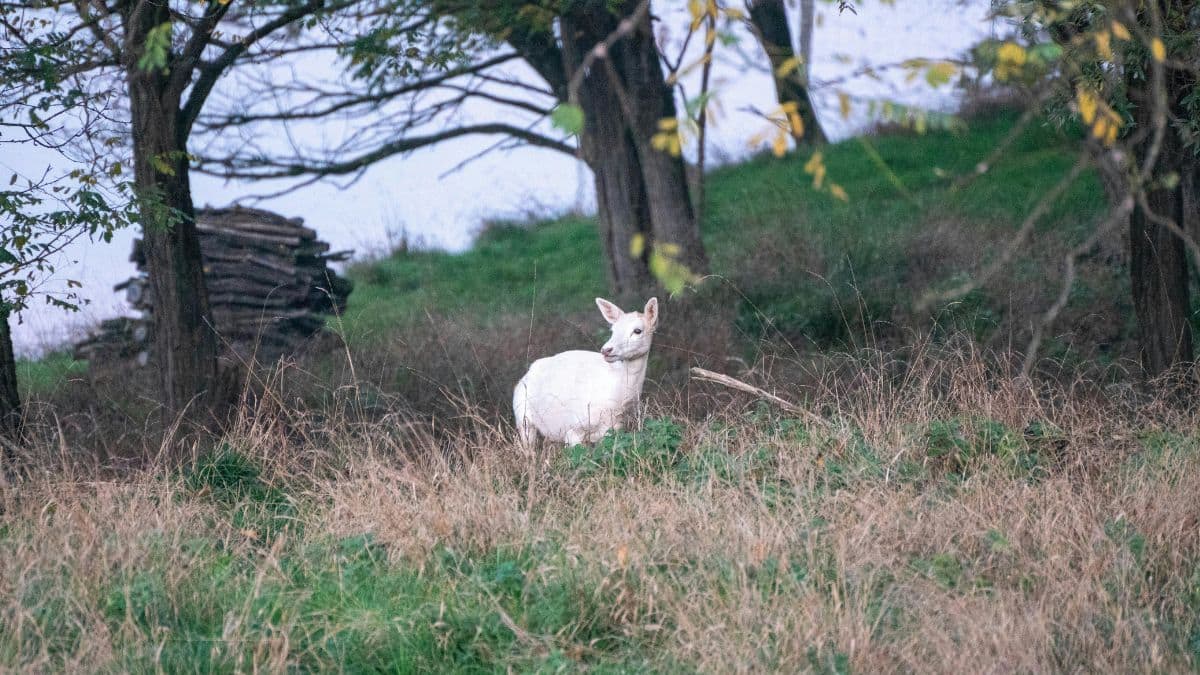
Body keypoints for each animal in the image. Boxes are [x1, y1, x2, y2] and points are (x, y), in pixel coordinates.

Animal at [513, 297, 659, 448]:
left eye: (637, 330)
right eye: (613, 330)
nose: (606, 350)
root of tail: (525, 375)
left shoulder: (616, 427)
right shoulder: (572, 428)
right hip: (523, 419)